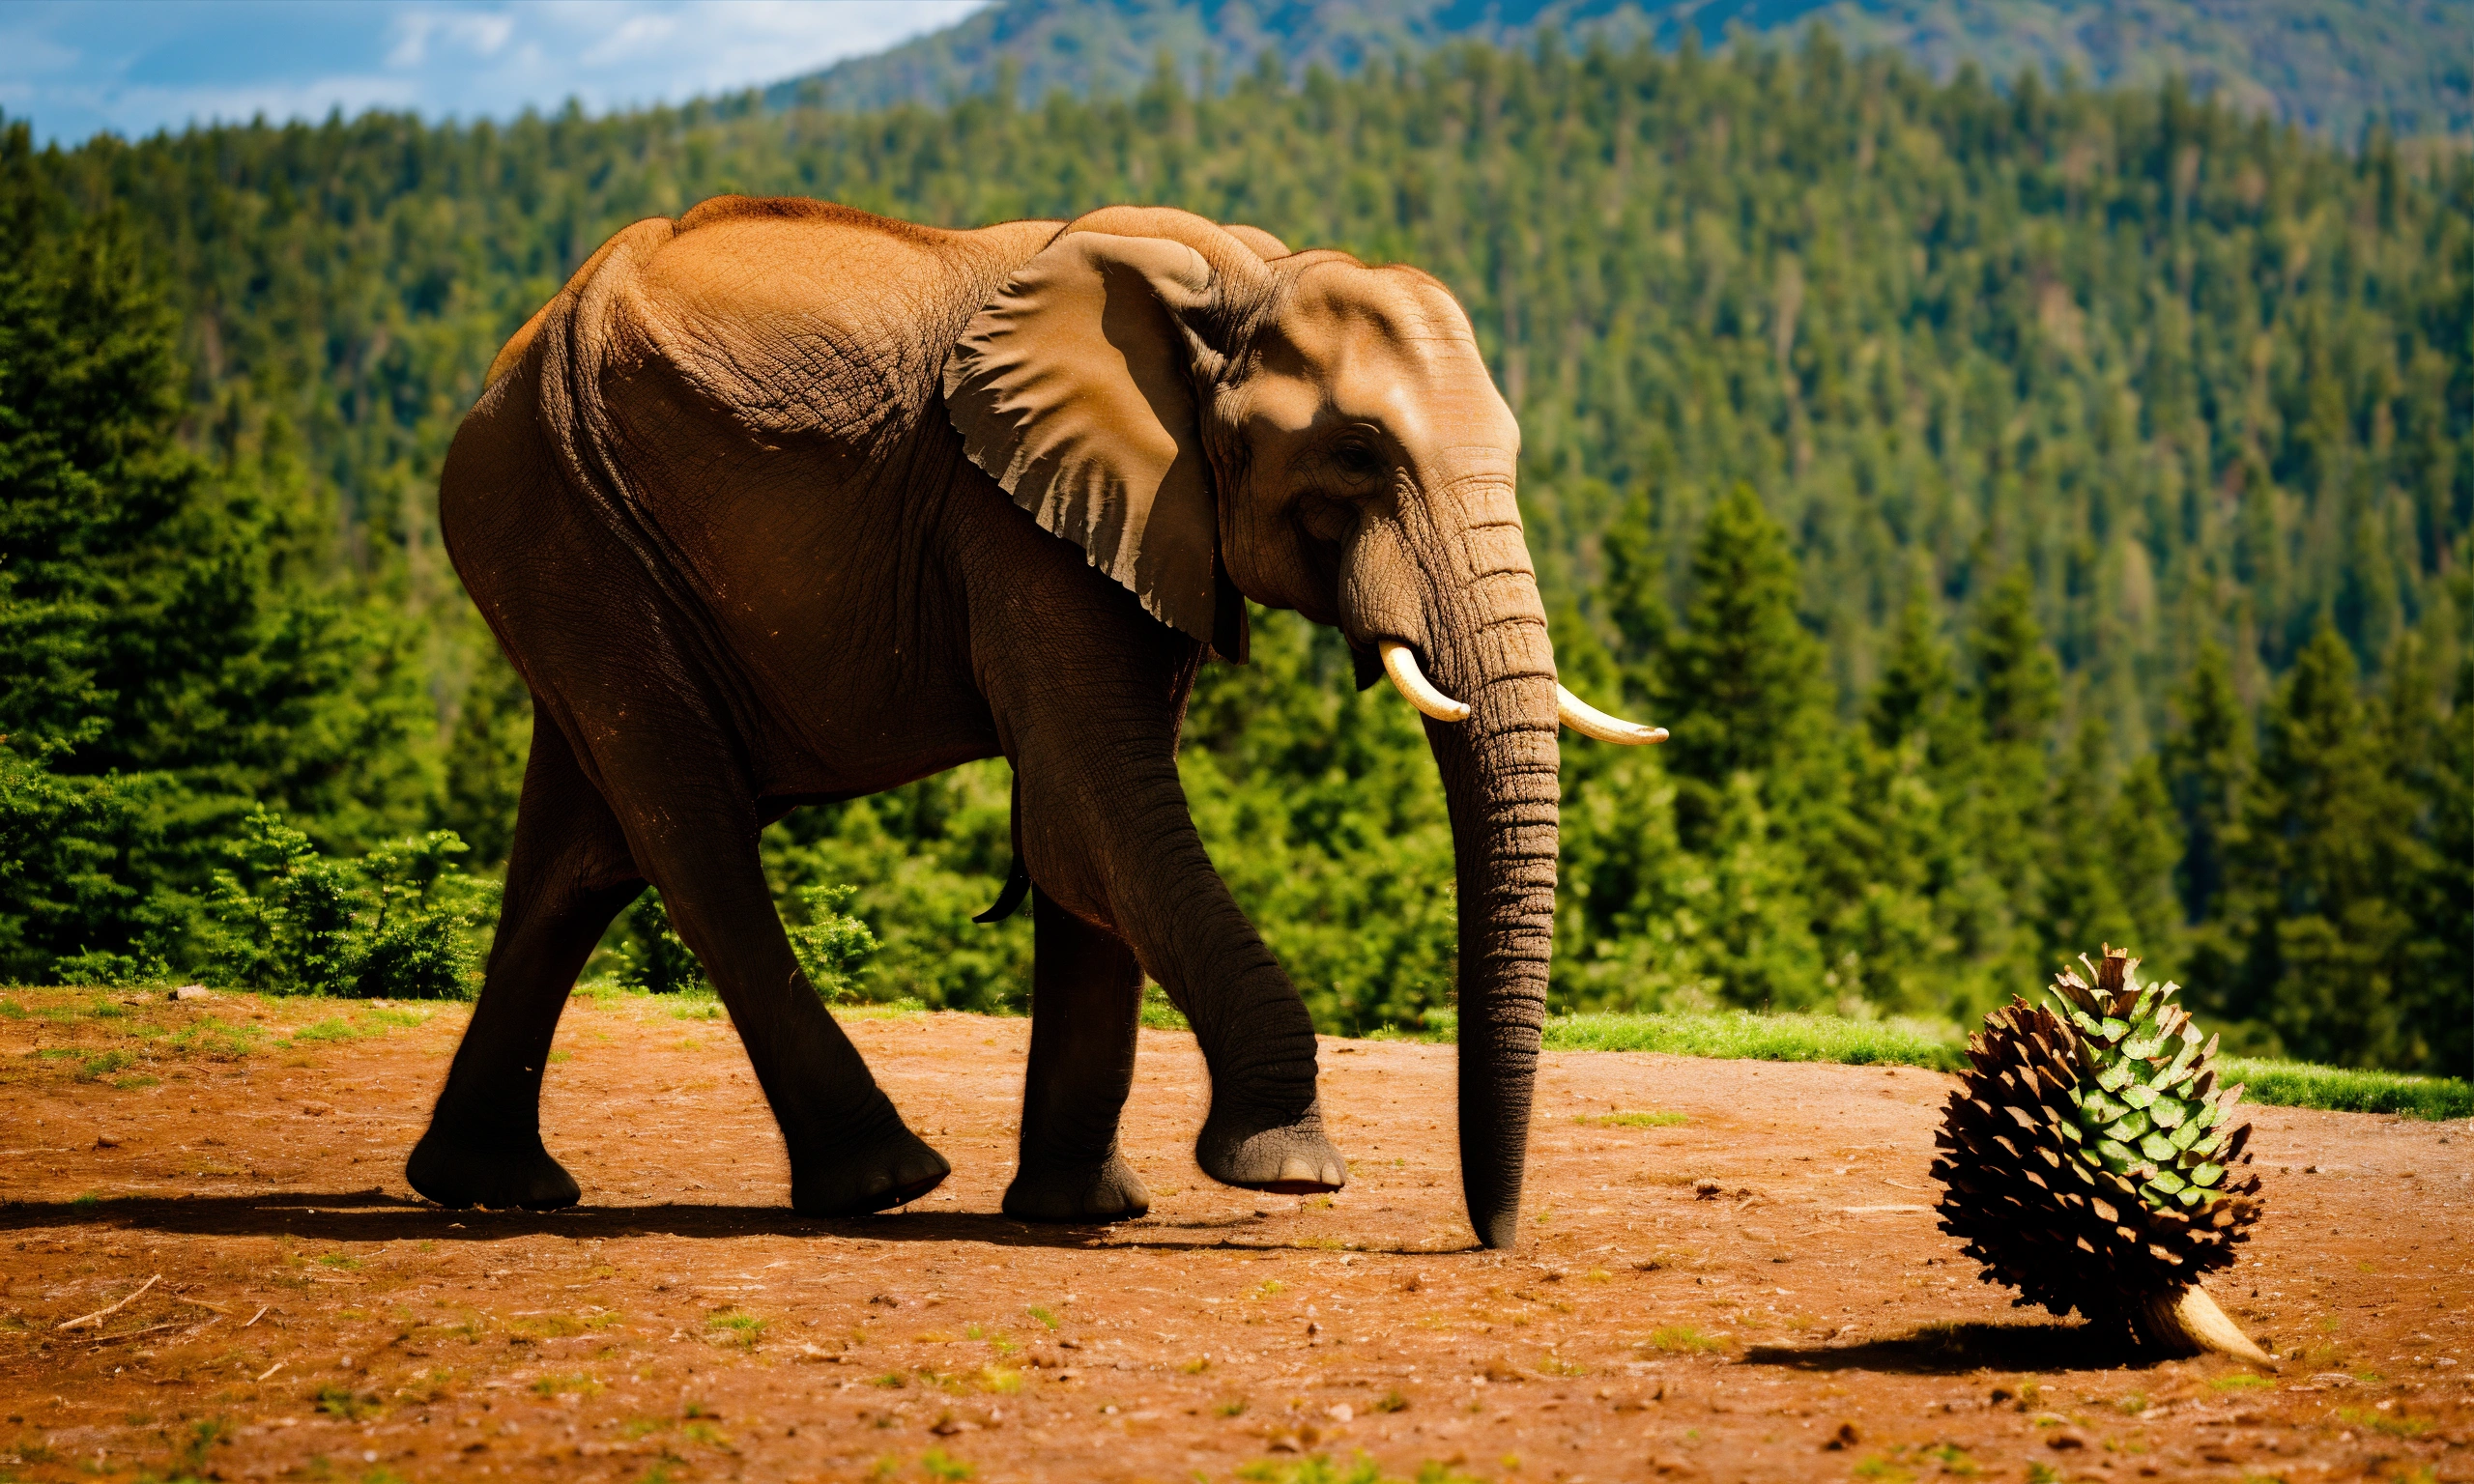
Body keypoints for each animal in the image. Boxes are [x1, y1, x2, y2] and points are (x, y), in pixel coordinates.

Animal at [407, 196, 1660, 1250]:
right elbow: (1094, 809)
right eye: (1354, 455)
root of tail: (519, 349)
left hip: (568, 537)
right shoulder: (1012, 517)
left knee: (582, 854)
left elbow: (1083, 833)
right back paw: (883, 1181)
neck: (1234, 277)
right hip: (558, 517)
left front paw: (1080, 1213)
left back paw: (491, 1186)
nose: (1491, 1237)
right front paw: (1290, 1169)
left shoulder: (1131, 521)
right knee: (691, 831)